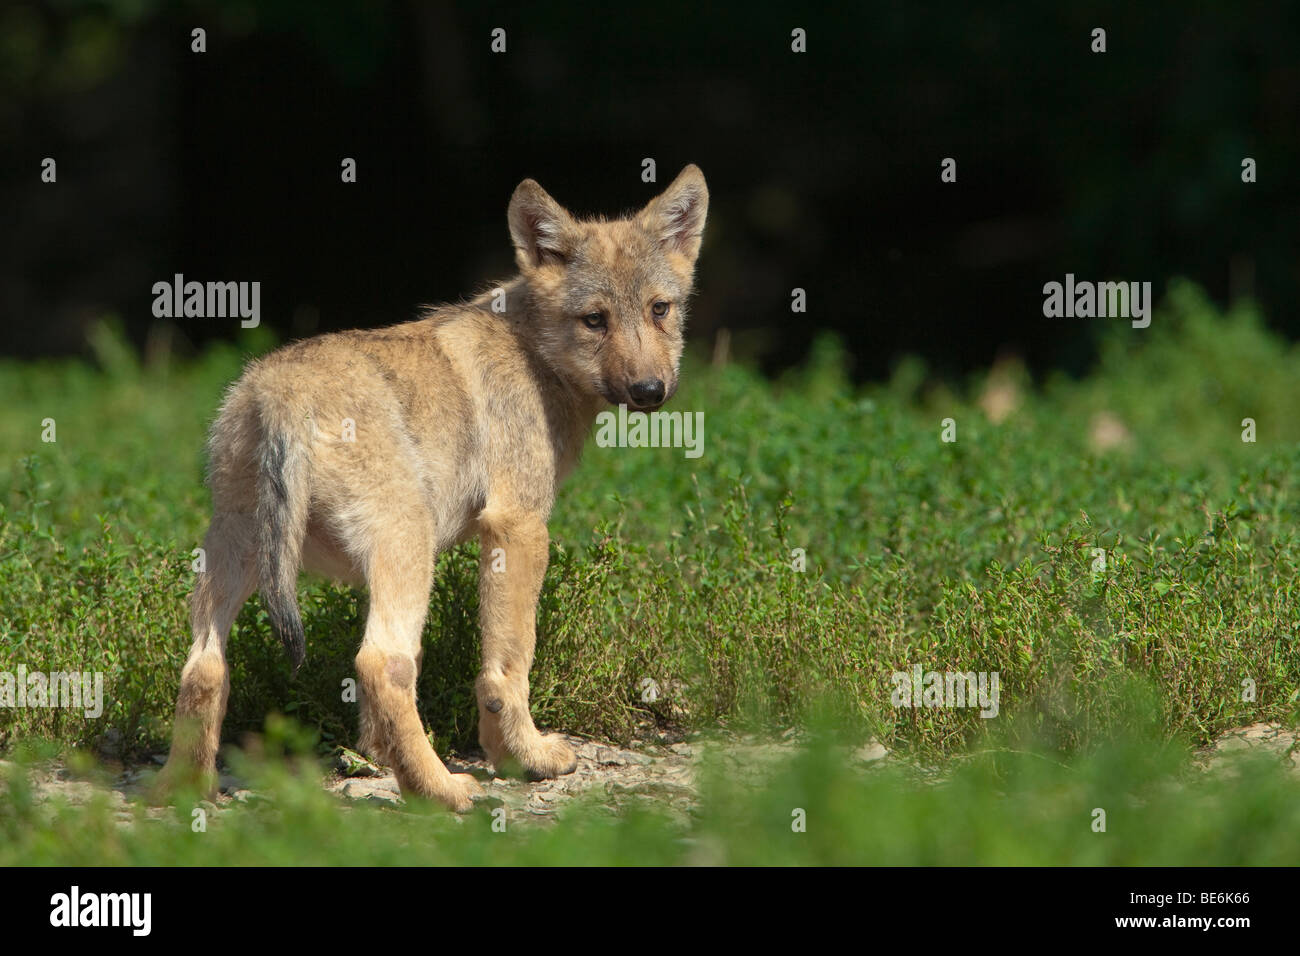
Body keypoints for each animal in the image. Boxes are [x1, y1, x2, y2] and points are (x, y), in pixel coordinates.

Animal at [157, 166, 708, 811]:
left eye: (659, 310)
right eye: (594, 320)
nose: (650, 391)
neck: (533, 352)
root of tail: (279, 396)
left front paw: (386, 755)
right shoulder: (519, 527)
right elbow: (508, 664)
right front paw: (527, 757)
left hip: (238, 557)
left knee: (203, 669)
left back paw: (179, 793)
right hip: (407, 544)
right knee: (381, 662)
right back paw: (443, 791)